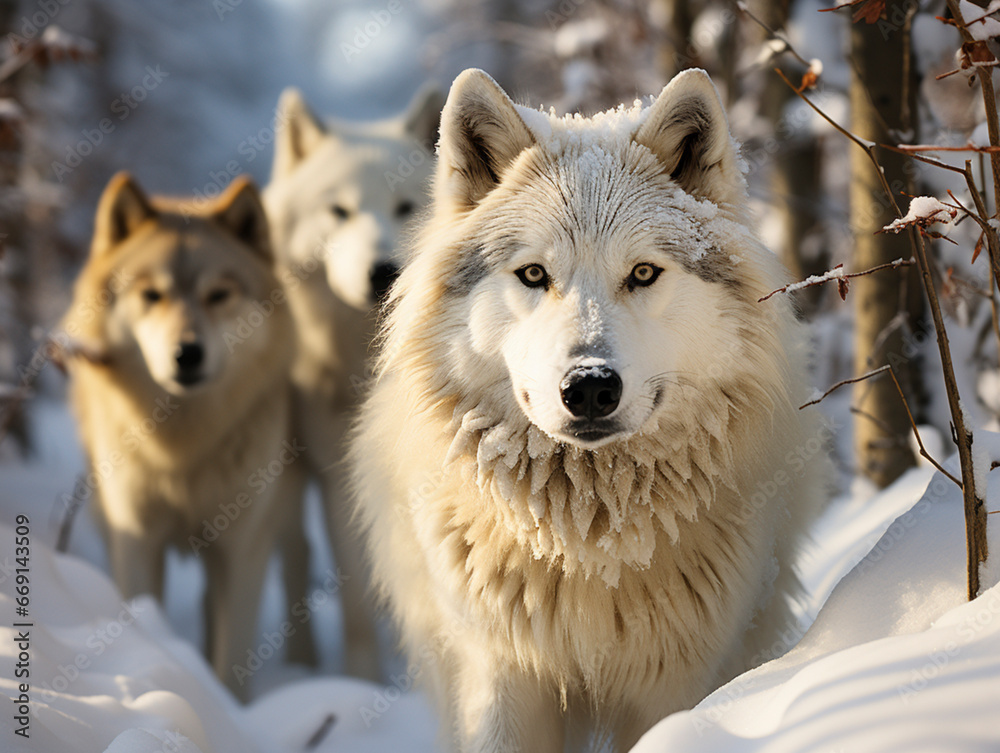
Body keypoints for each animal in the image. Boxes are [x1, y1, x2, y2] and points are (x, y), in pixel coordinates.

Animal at [62, 172, 298, 700]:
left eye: (218, 295)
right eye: (152, 295)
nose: (187, 353)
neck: (181, 449)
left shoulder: (240, 550)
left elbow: (232, 659)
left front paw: (231, 708)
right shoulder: (137, 541)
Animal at [263, 86, 442, 677]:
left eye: (406, 208)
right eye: (338, 211)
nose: (382, 270)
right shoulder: (339, 476)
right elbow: (355, 595)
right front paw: (362, 679)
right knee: (295, 555)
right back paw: (300, 665)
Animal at [350, 68, 828, 751]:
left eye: (644, 273)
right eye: (532, 274)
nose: (591, 387)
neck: (586, 541)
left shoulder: (675, 681)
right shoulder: (498, 675)